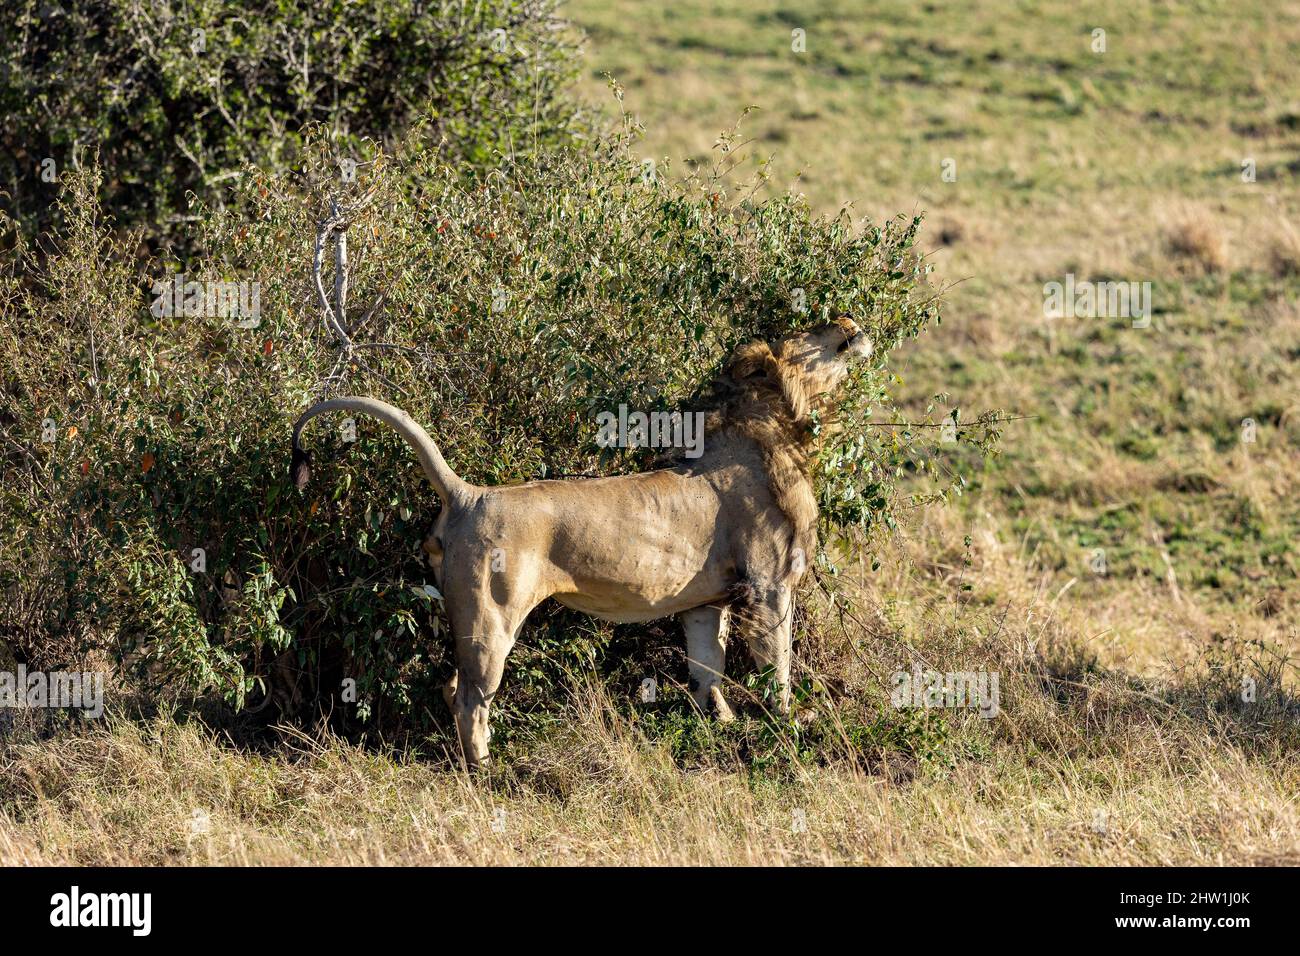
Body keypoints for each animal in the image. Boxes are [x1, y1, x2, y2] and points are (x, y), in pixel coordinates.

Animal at [290, 317, 872, 764]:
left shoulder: (707, 600)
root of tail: (467, 493)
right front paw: (787, 723)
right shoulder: (768, 585)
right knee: (467, 694)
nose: (849, 321)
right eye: (807, 332)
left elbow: (708, 667)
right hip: (491, 615)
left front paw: (721, 726)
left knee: (456, 687)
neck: (777, 429)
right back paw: (486, 768)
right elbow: (778, 665)